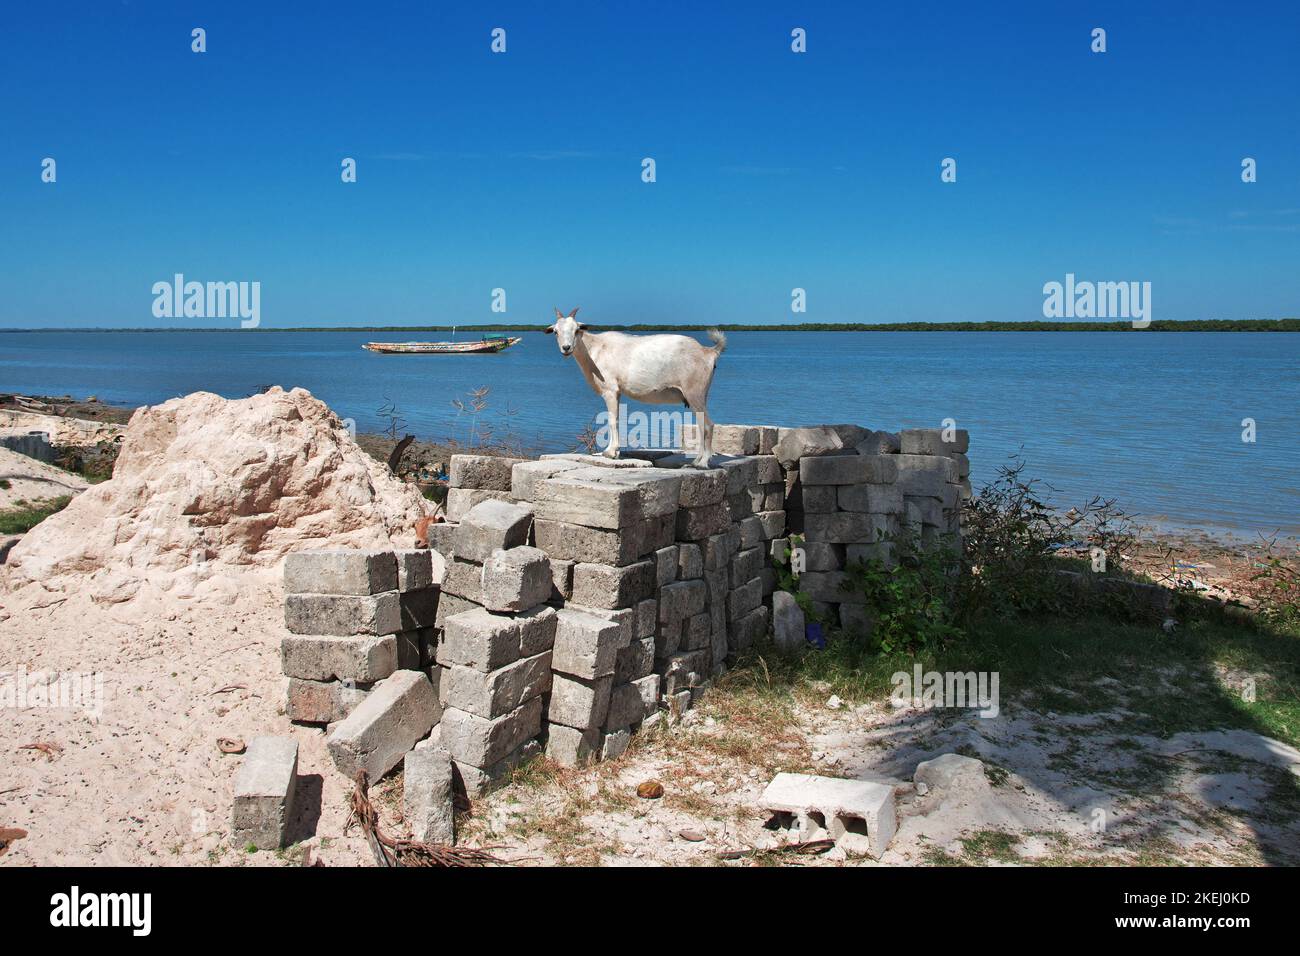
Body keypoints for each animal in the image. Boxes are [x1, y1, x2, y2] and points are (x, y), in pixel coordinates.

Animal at [545, 307, 726, 467]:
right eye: (555, 332)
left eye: (576, 330)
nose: (566, 348)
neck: (595, 349)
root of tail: (708, 352)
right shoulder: (617, 392)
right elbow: (617, 418)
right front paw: (614, 451)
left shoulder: (610, 390)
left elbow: (612, 419)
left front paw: (610, 452)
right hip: (698, 396)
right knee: (701, 425)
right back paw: (695, 461)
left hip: (694, 392)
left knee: (708, 425)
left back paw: (702, 463)